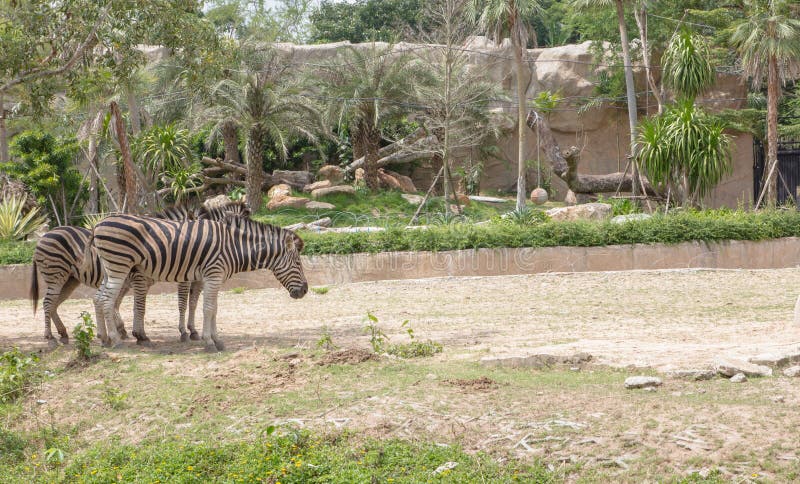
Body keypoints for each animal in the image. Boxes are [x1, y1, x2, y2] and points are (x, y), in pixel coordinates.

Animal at [30, 201, 251, 343]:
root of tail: (43, 237)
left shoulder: (194, 278)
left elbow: (193, 303)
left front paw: (192, 330)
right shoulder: (155, 278)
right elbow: (173, 304)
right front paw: (181, 332)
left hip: (69, 280)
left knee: (54, 304)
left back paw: (63, 333)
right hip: (57, 275)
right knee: (48, 302)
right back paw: (50, 336)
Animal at [89, 214, 307, 351]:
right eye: (298, 263)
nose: (305, 290)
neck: (234, 246)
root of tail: (98, 224)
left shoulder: (213, 278)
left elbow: (213, 308)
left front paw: (217, 340)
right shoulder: (213, 274)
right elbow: (208, 308)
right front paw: (209, 342)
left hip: (110, 269)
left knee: (98, 298)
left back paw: (104, 339)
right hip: (119, 266)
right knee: (107, 300)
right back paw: (116, 340)